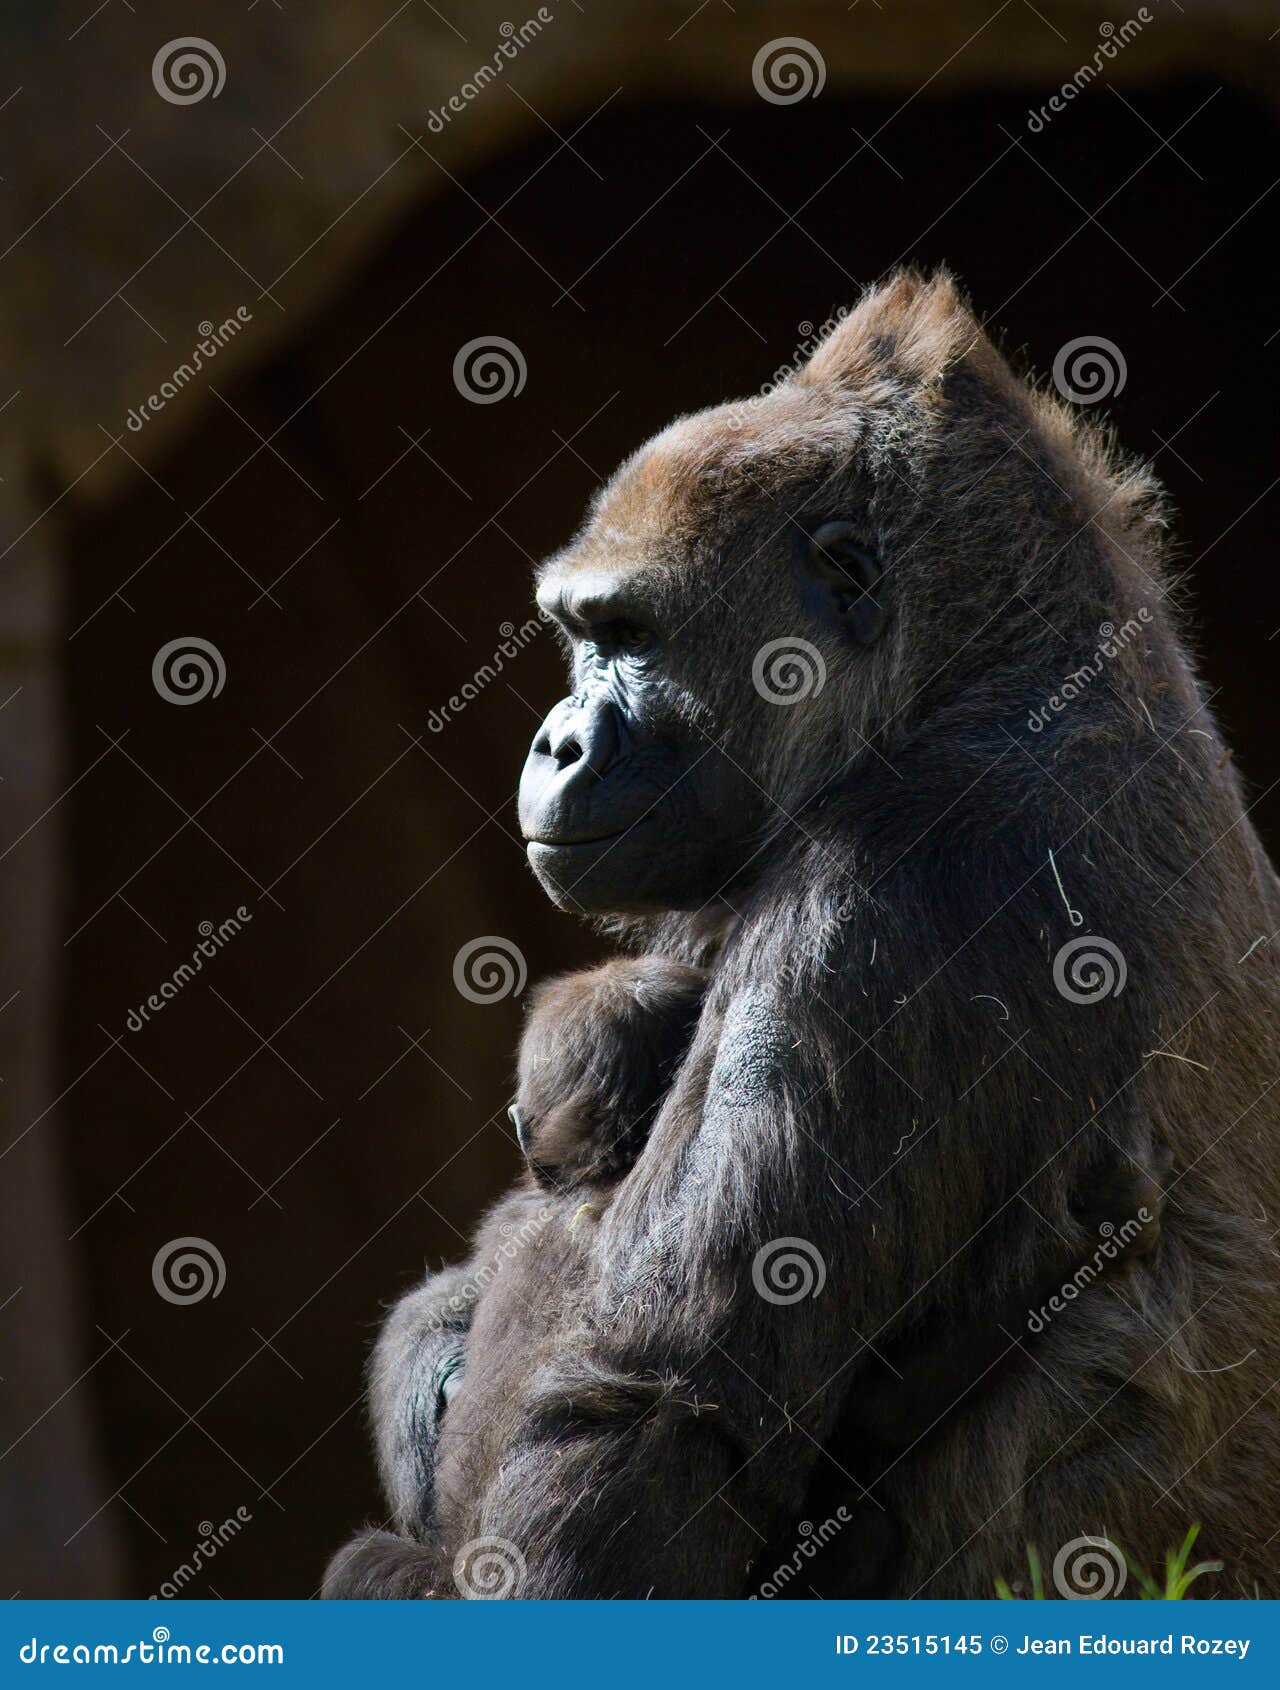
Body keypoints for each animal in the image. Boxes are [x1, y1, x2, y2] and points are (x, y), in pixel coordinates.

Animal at [330, 270, 1280, 1598]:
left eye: (629, 631)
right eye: (578, 633)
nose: (557, 740)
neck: (986, 658)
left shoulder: (890, 878)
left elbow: (666, 1412)